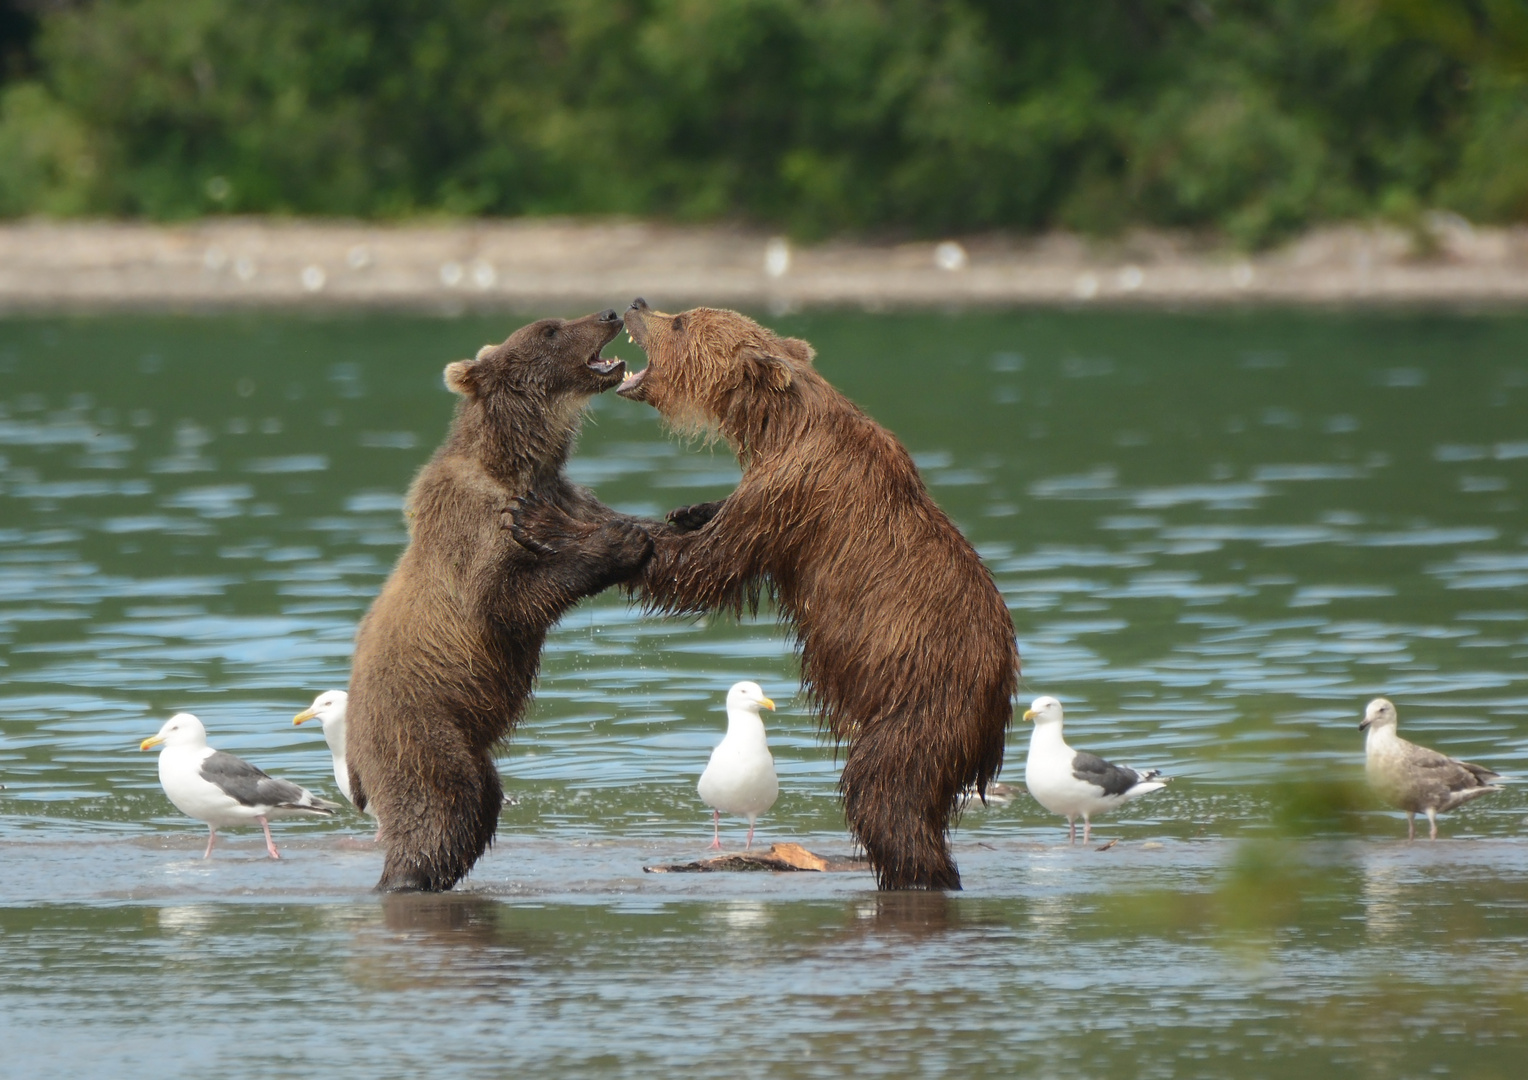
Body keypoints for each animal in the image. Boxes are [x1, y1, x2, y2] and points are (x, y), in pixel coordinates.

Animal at [346, 308, 653, 893]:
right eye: (550, 330)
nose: (609, 313)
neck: (516, 464)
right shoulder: (473, 528)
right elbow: (505, 599)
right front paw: (620, 544)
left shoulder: (565, 494)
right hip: (419, 730)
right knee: (440, 809)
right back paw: (404, 876)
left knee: (478, 807)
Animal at [609, 298, 1019, 890]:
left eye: (682, 321)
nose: (638, 305)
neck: (775, 427)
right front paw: (687, 511)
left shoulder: (790, 494)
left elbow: (711, 566)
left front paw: (612, 535)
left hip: (925, 702)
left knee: (884, 790)